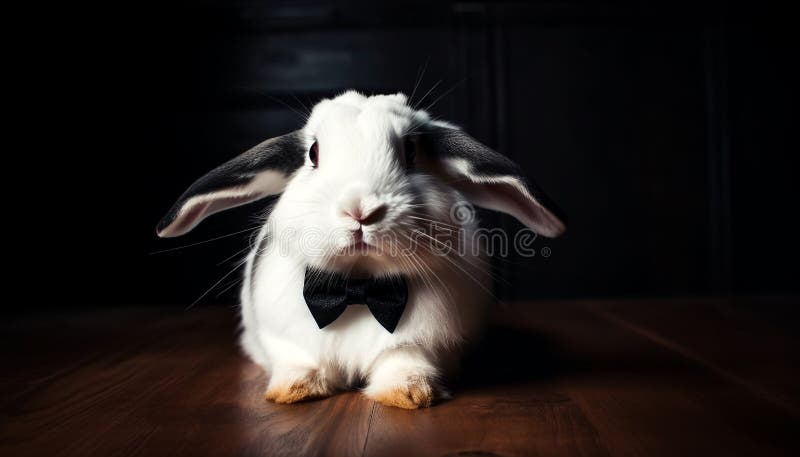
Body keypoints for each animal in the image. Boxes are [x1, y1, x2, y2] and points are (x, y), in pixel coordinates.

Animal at [156, 90, 566, 408]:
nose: (360, 210)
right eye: (313, 153)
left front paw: (409, 394)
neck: (359, 287)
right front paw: (295, 390)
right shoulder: (285, 337)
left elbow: (404, 360)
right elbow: (300, 359)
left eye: (411, 151)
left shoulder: (423, 343)